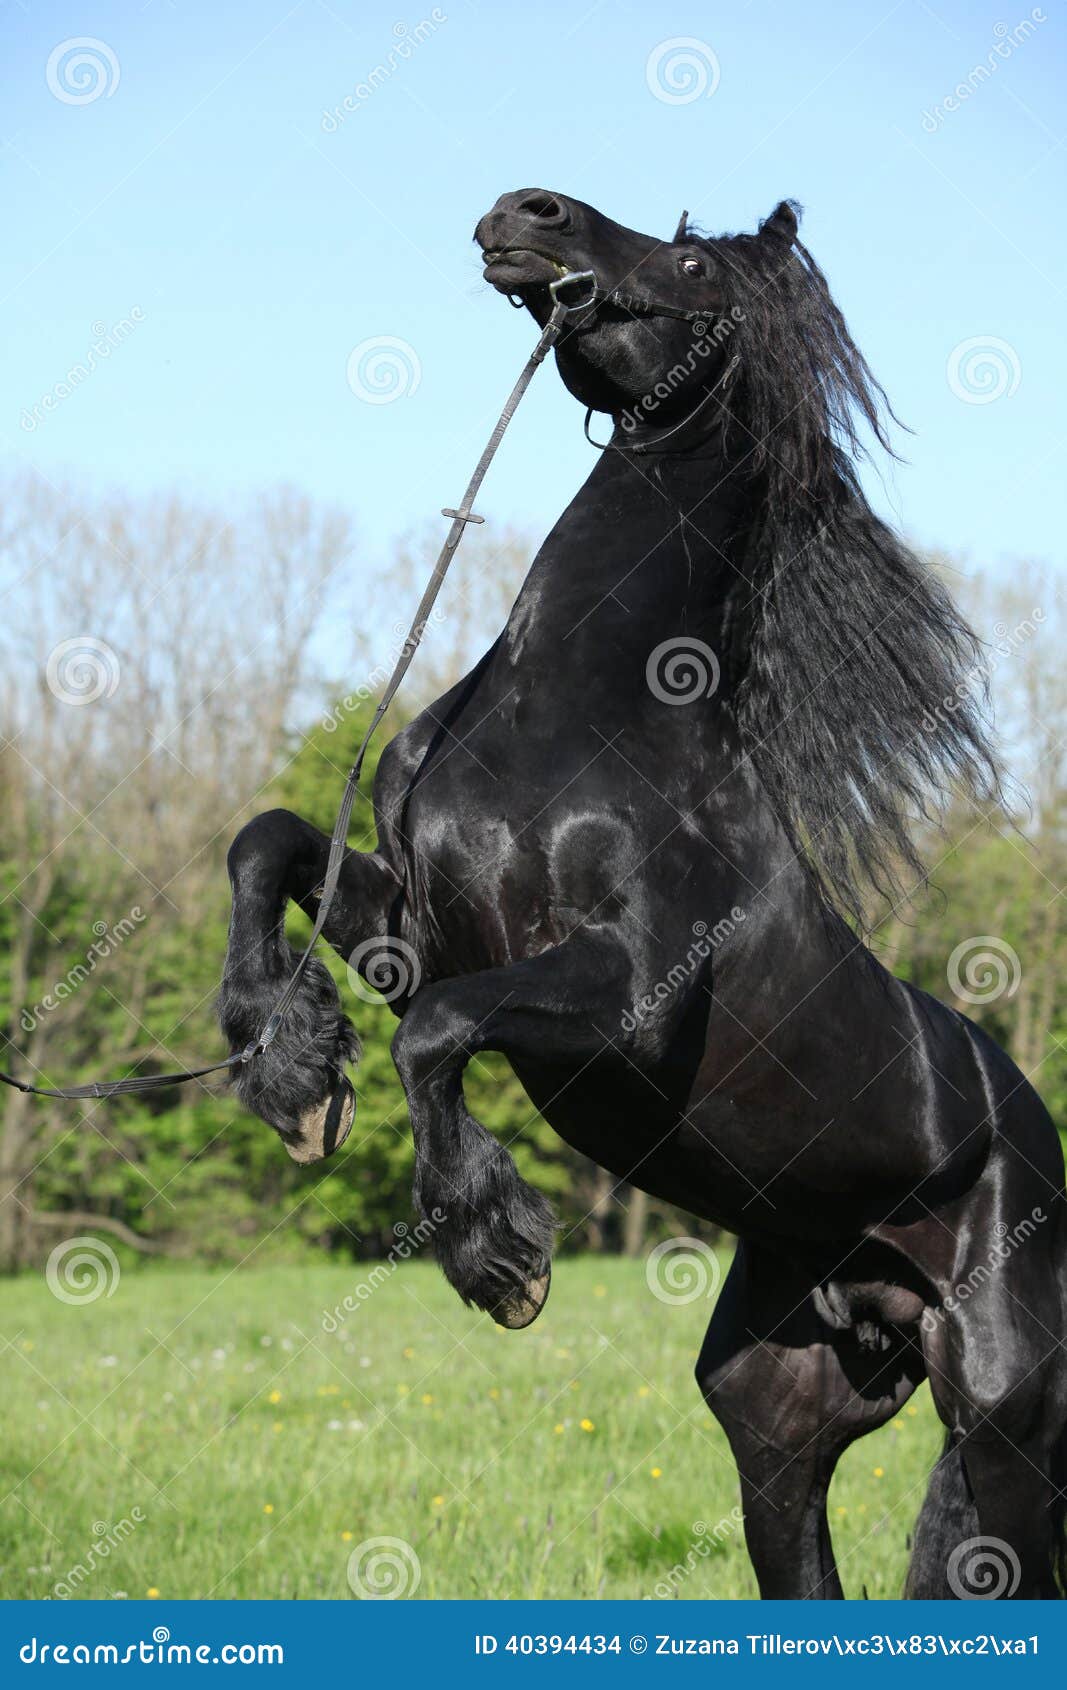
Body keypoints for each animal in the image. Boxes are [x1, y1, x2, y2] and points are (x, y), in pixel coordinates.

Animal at [217, 188, 1067, 1600]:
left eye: (686, 265)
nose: (527, 213)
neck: (587, 705)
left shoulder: (627, 996)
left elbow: (434, 1032)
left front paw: (495, 1250)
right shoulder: (417, 926)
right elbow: (269, 847)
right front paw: (286, 1071)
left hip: (1002, 1416)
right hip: (779, 1418)